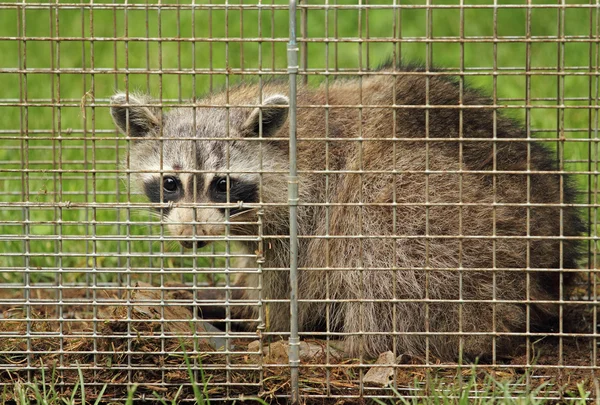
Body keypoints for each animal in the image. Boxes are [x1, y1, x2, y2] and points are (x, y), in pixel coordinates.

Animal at [110, 64, 584, 362]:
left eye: (221, 184)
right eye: (170, 183)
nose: (192, 238)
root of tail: (553, 269)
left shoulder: (308, 213)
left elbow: (289, 288)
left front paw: (268, 329)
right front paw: (229, 301)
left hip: (461, 221)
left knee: (377, 242)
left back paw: (348, 348)